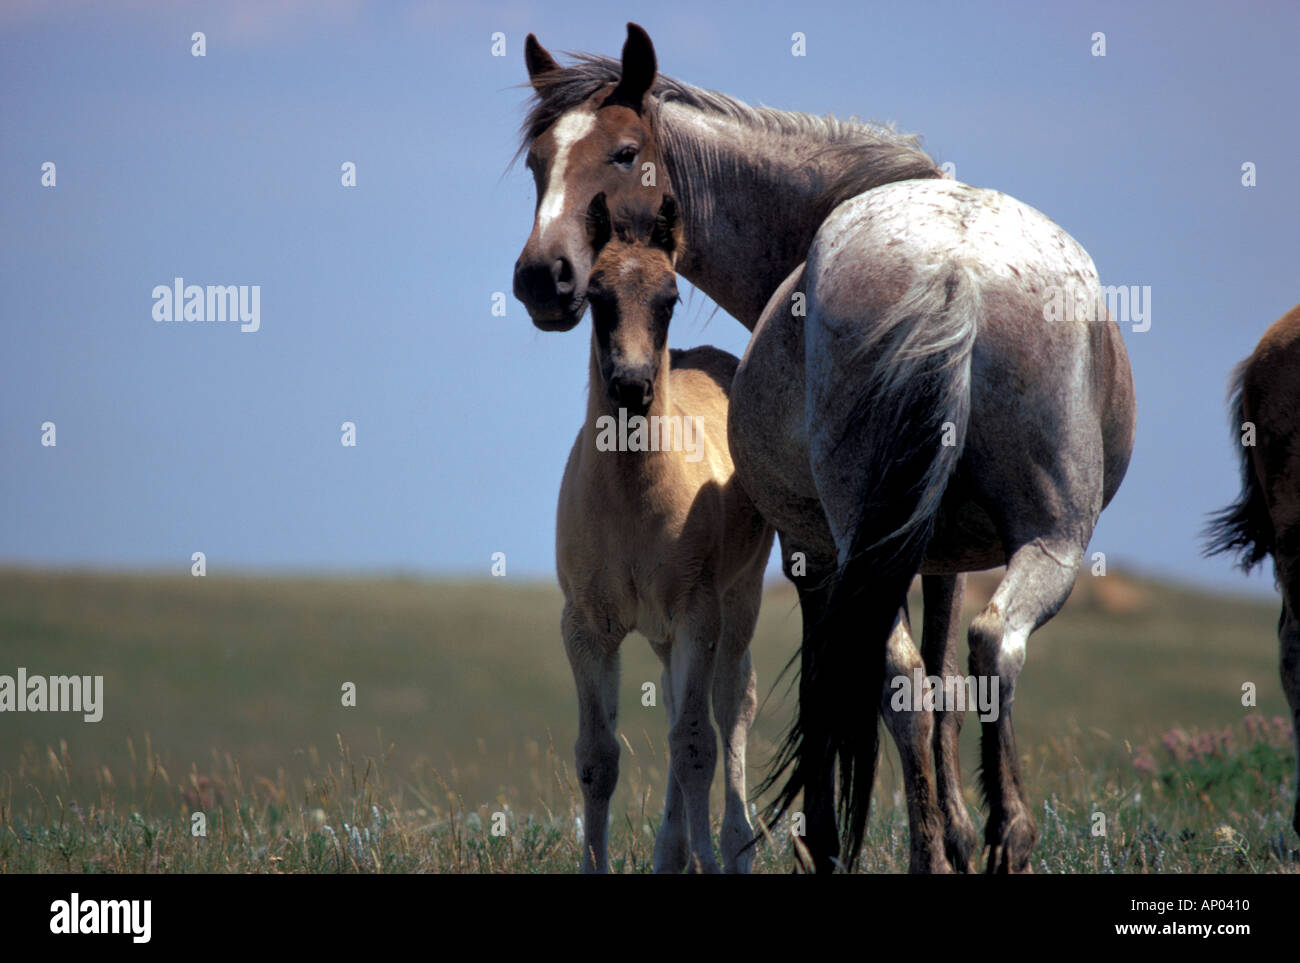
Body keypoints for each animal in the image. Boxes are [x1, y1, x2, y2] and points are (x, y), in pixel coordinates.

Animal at [554, 190, 774, 872]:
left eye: (670, 298)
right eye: (595, 297)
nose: (631, 385)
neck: (630, 502)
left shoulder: (698, 614)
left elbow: (696, 745)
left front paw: (710, 858)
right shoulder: (585, 626)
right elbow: (597, 757)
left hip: (736, 604)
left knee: (730, 707)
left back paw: (732, 843)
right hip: (659, 632)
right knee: (681, 705)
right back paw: (673, 850)